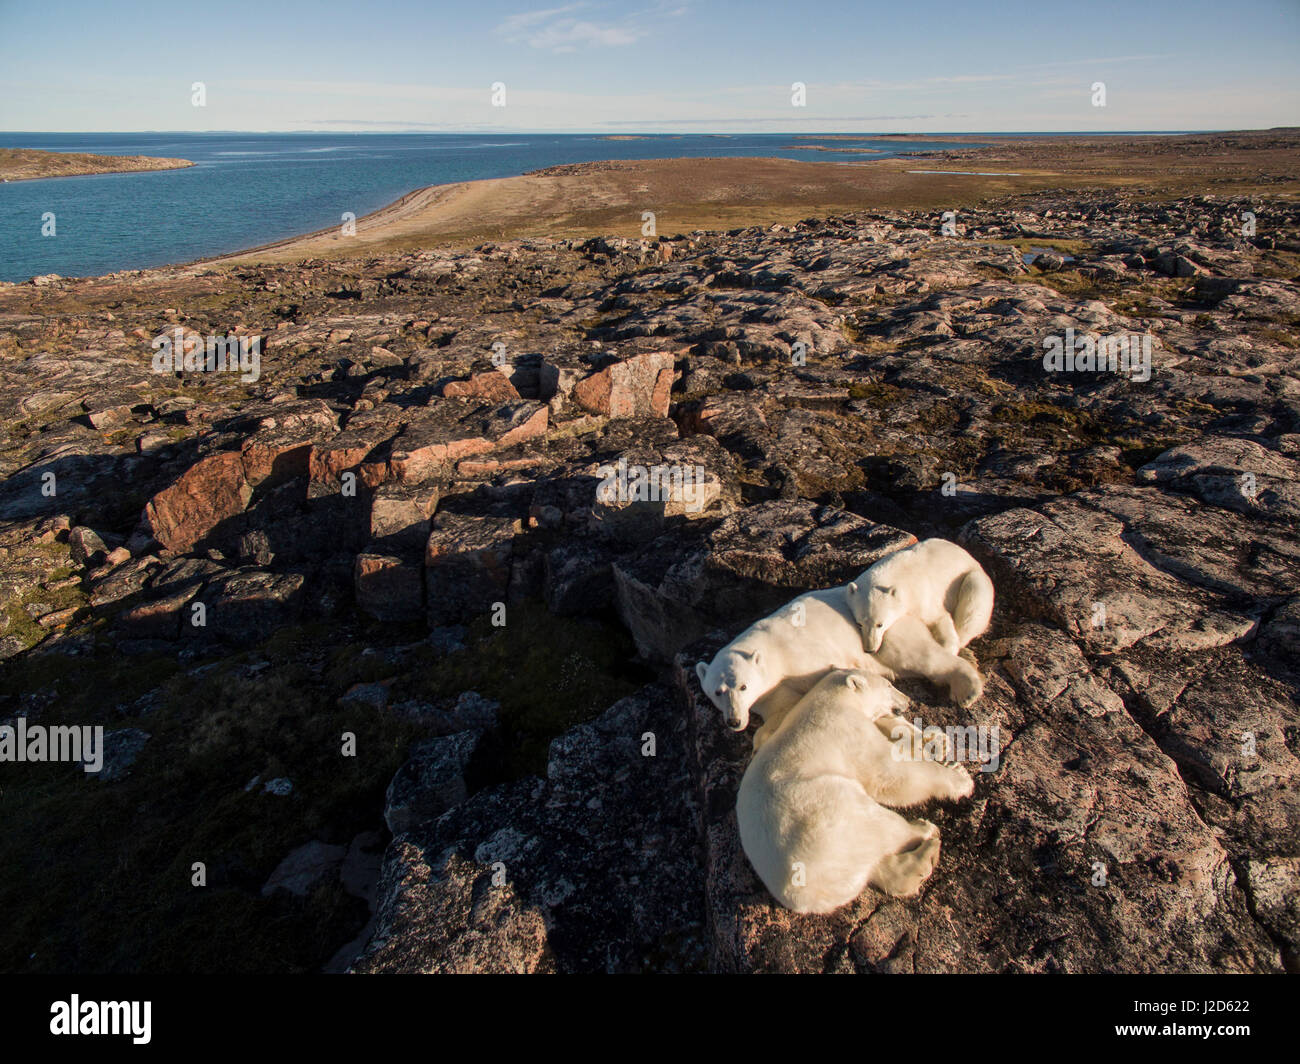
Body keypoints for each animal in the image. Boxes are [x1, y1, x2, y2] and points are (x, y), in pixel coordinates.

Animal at [735, 668, 974, 913]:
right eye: (888, 685)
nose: (907, 700)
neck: (836, 698)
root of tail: (800, 891)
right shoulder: (847, 728)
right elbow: (889, 773)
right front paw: (960, 778)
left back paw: (923, 859)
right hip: (831, 812)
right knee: (882, 826)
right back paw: (924, 830)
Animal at [846, 538, 994, 656]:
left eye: (880, 624)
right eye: (859, 623)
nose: (869, 649)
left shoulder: (924, 596)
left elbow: (939, 617)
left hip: (974, 579)